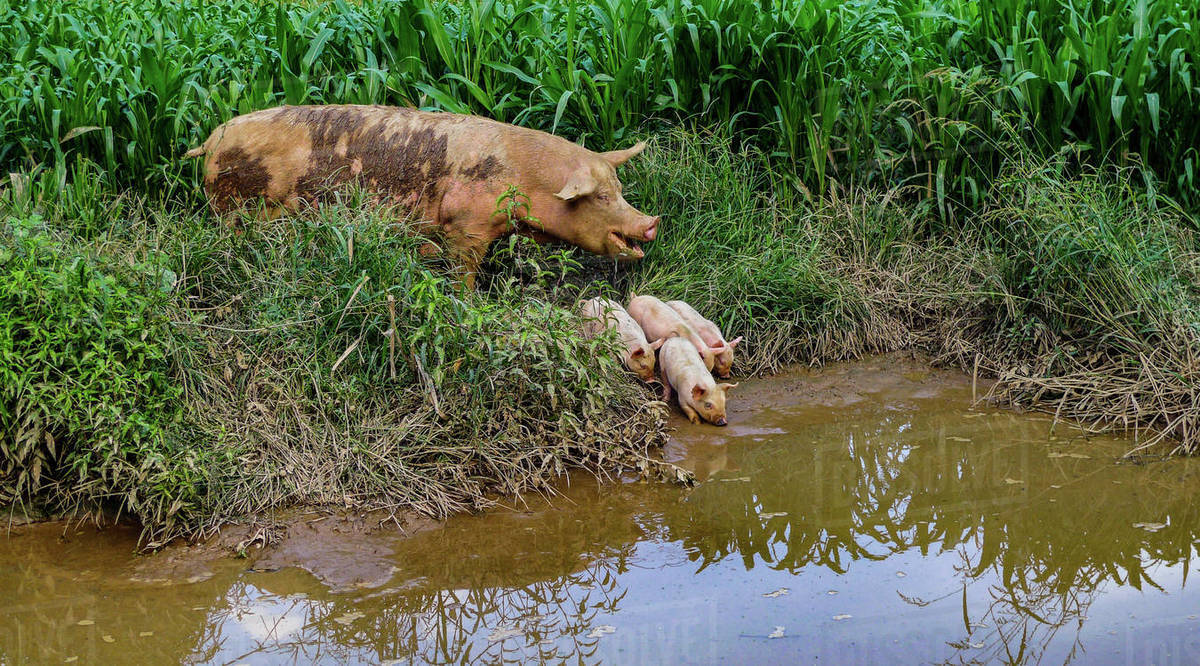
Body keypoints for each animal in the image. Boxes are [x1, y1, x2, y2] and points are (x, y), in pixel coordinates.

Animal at [185, 105, 660, 286]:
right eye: (600, 198)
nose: (652, 222)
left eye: (619, 190)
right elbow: (464, 269)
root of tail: (208, 140)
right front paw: (468, 300)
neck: (524, 178)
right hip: (235, 208)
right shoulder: (466, 226)